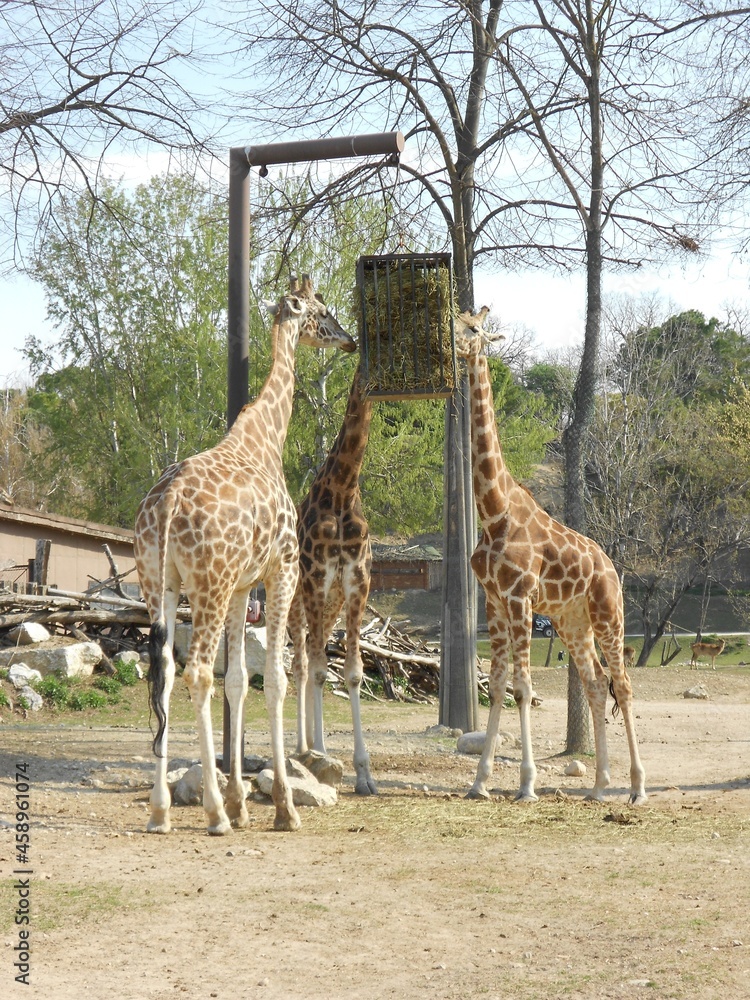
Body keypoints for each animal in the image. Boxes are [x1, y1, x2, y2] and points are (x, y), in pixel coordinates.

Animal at [134, 275, 356, 835]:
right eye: (324, 311)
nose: (349, 341)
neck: (266, 438)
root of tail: (166, 505)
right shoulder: (281, 569)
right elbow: (274, 678)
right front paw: (281, 807)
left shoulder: (240, 585)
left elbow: (236, 680)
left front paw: (241, 800)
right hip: (206, 585)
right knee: (195, 672)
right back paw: (213, 814)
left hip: (158, 583)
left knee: (164, 672)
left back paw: (161, 810)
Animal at [454, 307, 647, 806]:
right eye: (456, 320)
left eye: (475, 328)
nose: (455, 343)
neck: (493, 510)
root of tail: (612, 568)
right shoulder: (494, 602)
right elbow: (498, 686)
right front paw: (479, 783)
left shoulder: (519, 597)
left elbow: (522, 688)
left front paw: (526, 784)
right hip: (572, 622)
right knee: (596, 684)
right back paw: (599, 787)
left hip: (608, 614)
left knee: (623, 685)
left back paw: (637, 787)